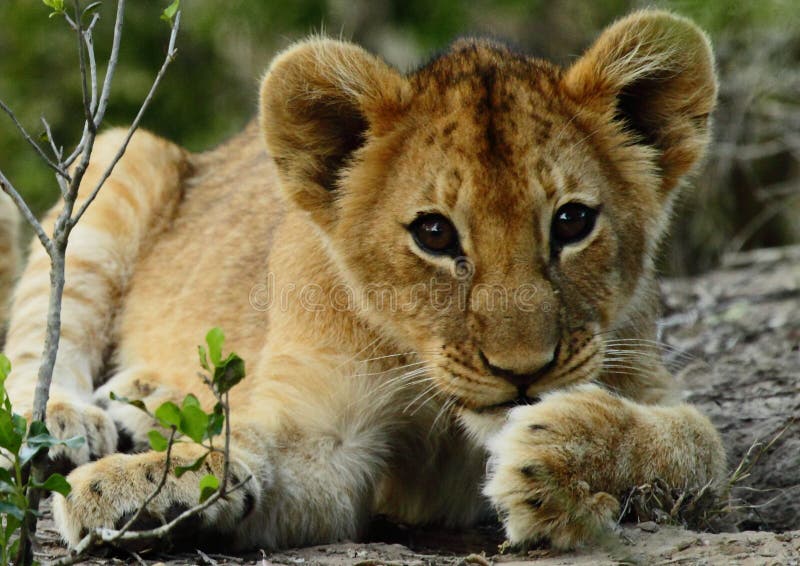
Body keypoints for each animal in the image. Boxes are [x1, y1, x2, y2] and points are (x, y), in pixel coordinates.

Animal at [3, 10, 726, 551]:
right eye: (433, 234)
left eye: (572, 221)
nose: (523, 372)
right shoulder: (327, 428)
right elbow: (240, 448)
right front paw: (130, 491)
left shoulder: (648, 383)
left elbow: (687, 442)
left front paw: (552, 458)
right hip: (122, 165)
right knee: (37, 348)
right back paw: (69, 424)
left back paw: (143, 399)